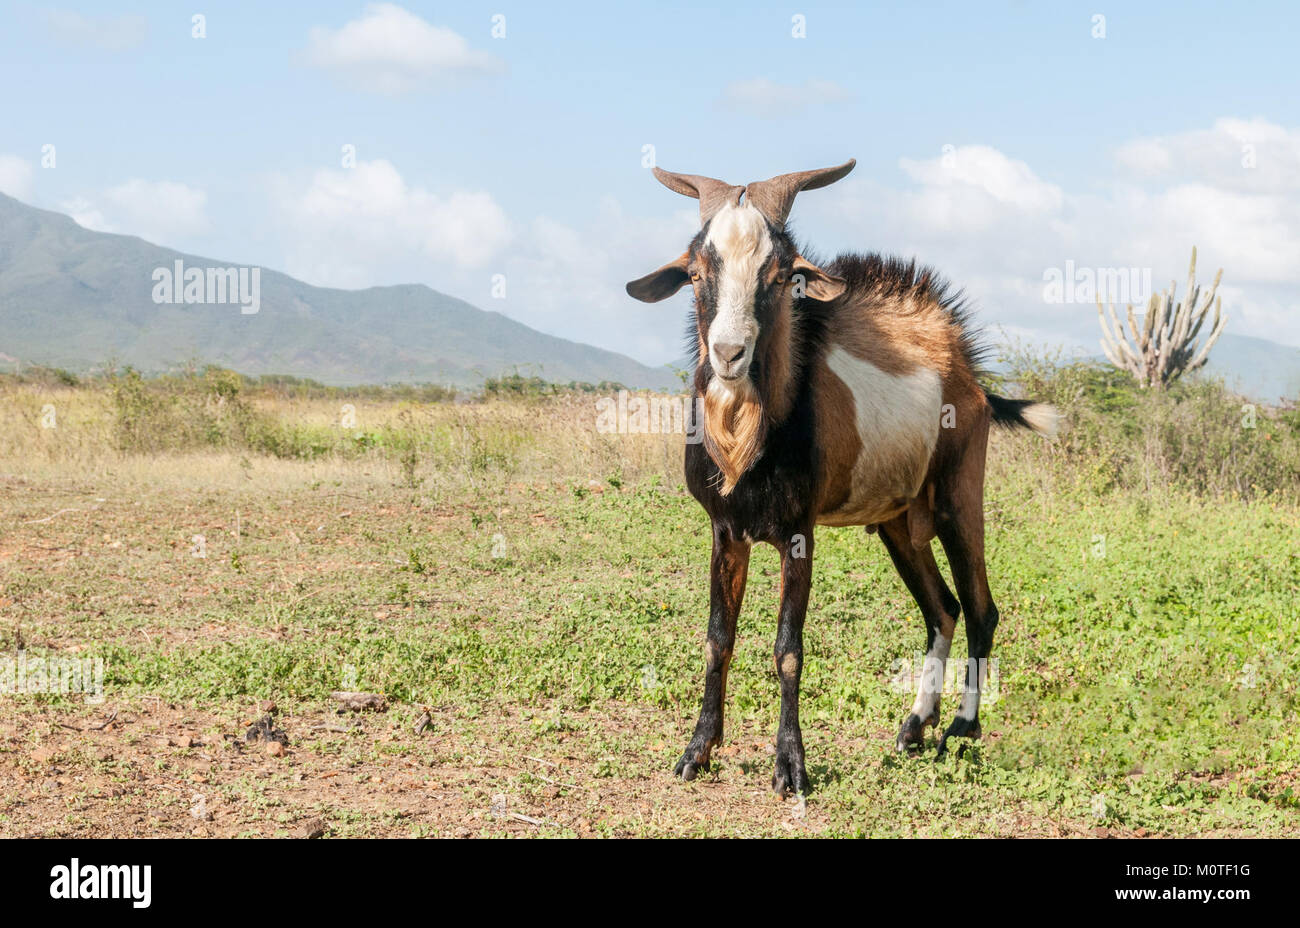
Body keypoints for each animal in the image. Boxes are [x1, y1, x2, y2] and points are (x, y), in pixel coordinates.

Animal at [625, 159, 1058, 795]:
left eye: (782, 275)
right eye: (698, 272)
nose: (729, 354)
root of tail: (971, 375)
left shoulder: (798, 532)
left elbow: (788, 647)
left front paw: (790, 768)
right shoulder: (726, 530)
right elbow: (717, 639)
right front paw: (697, 751)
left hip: (959, 499)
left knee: (980, 607)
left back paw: (960, 729)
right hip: (900, 522)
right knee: (942, 609)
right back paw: (914, 727)